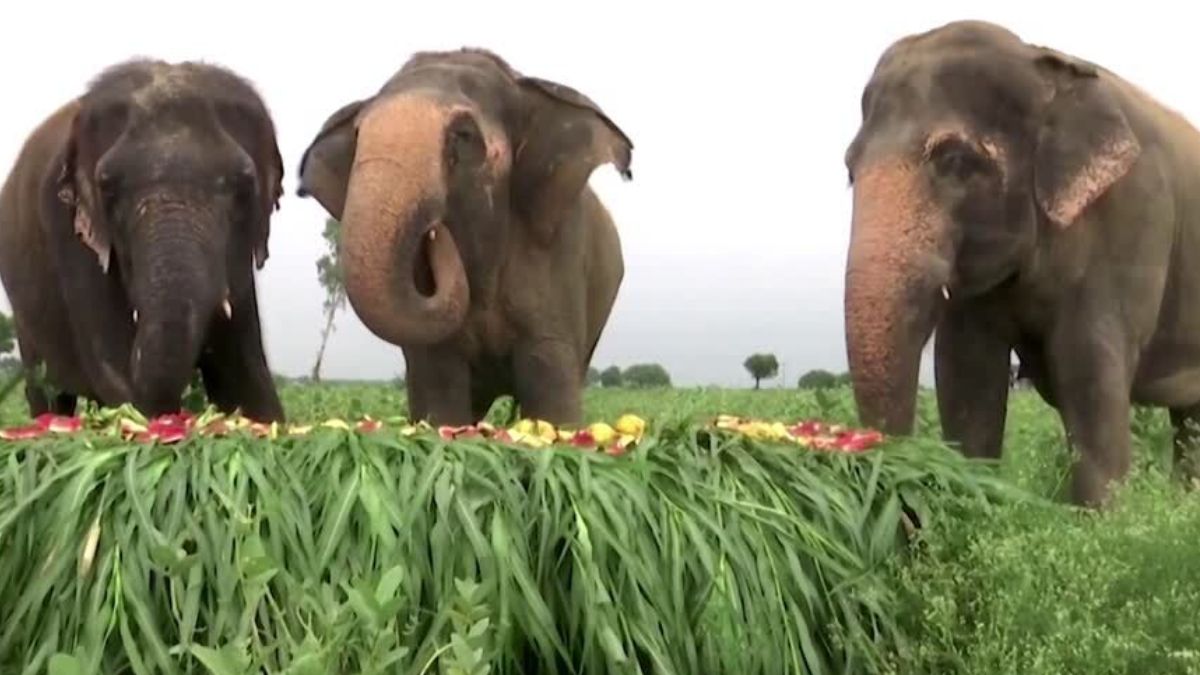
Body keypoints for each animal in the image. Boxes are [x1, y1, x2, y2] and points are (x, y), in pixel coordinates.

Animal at [0, 59, 285, 421]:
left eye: (244, 185)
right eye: (107, 186)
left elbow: (246, 378)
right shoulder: (67, 227)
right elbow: (114, 366)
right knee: (48, 391)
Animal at [296, 48, 632, 426]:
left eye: (464, 134)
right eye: (357, 136)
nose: (436, 232)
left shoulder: (559, 248)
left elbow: (551, 384)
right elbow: (439, 388)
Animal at [842, 20, 1200, 506]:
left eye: (955, 161)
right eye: (849, 171)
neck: (1042, 64)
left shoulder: (1133, 219)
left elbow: (1087, 366)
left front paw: (1103, 517)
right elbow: (966, 369)